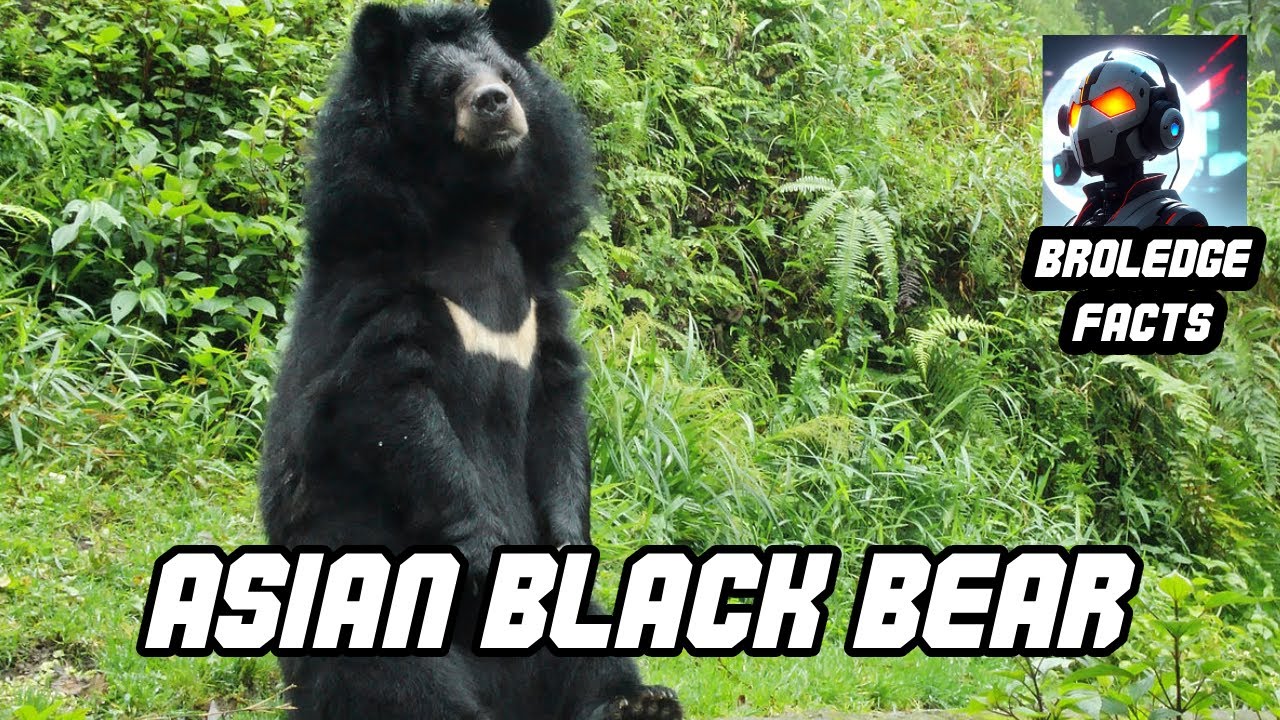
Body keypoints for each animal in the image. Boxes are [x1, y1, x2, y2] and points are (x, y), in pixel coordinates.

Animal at [255, 1, 683, 719]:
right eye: (443, 84)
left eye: (505, 73)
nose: (494, 103)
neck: (476, 213)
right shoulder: (379, 299)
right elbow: (399, 411)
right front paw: (482, 555)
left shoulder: (540, 310)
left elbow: (559, 420)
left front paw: (569, 545)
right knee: (387, 676)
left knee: (596, 648)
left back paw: (637, 701)